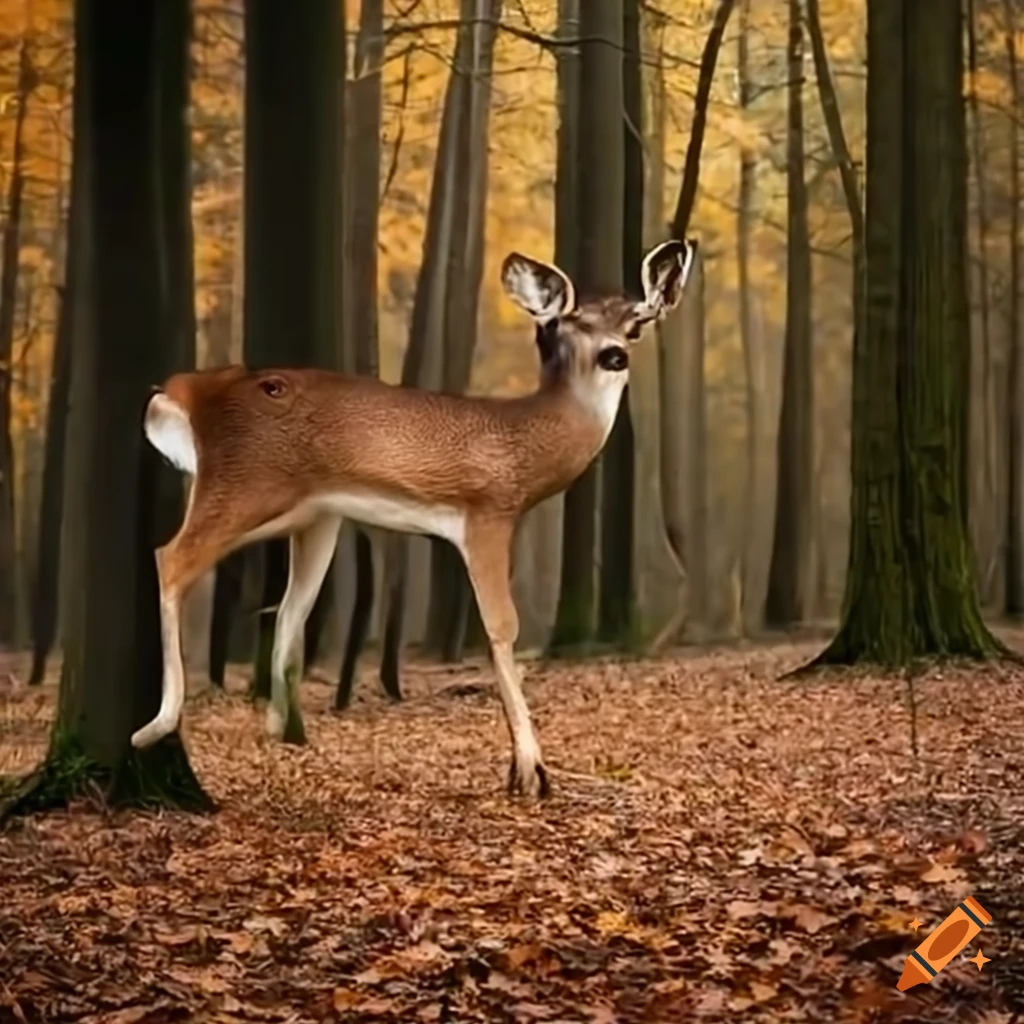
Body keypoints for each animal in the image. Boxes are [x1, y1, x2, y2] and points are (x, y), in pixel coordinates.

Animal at [130, 237, 696, 798]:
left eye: (637, 324)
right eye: (570, 323)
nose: (613, 355)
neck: (525, 443)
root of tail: (174, 395)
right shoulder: (487, 511)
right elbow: (502, 627)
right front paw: (530, 771)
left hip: (311, 514)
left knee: (289, 607)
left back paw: (285, 730)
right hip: (245, 483)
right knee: (170, 557)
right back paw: (156, 725)